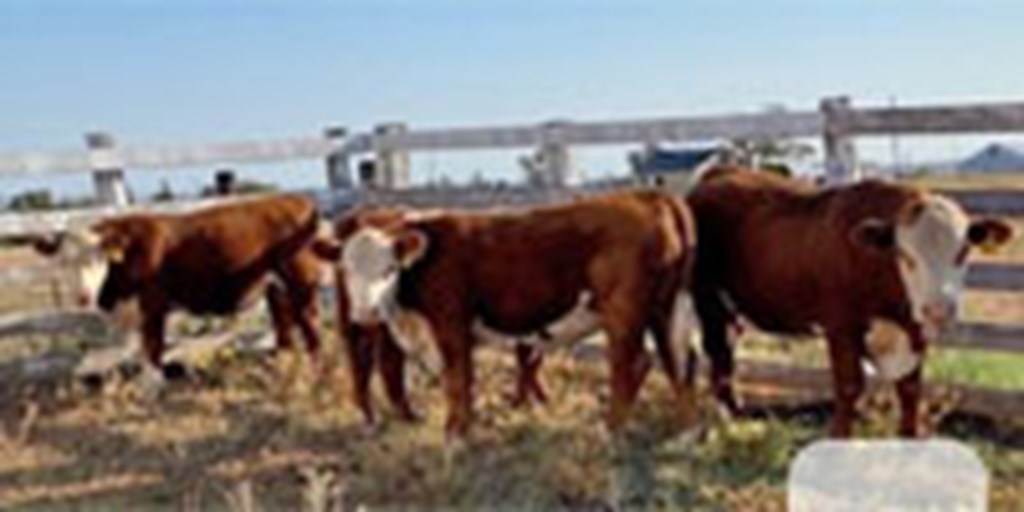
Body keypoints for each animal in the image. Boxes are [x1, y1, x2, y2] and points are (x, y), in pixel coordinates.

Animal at [34, 194, 334, 391]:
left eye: (98, 259)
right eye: (62, 262)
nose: (82, 296)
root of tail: (298, 201)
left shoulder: (153, 305)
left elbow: (152, 346)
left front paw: (151, 386)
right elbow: (130, 349)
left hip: (301, 282)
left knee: (311, 327)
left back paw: (317, 372)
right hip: (275, 287)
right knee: (284, 325)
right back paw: (281, 367)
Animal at [335, 190, 699, 439]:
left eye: (389, 269)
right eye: (346, 269)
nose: (365, 311)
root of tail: (647, 196)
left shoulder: (451, 324)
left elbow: (458, 379)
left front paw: (456, 433)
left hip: (624, 313)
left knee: (630, 364)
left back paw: (611, 429)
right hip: (662, 310)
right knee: (675, 362)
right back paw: (683, 430)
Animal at [687, 166, 1014, 437]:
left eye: (963, 252)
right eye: (904, 255)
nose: (939, 310)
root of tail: (719, 174)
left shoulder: (915, 329)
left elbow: (910, 387)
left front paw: (910, 437)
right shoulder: (841, 326)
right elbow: (849, 385)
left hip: (730, 308)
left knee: (728, 347)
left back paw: (735, 410)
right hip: (707, 298)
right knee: (717, 350)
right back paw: (724, 417)